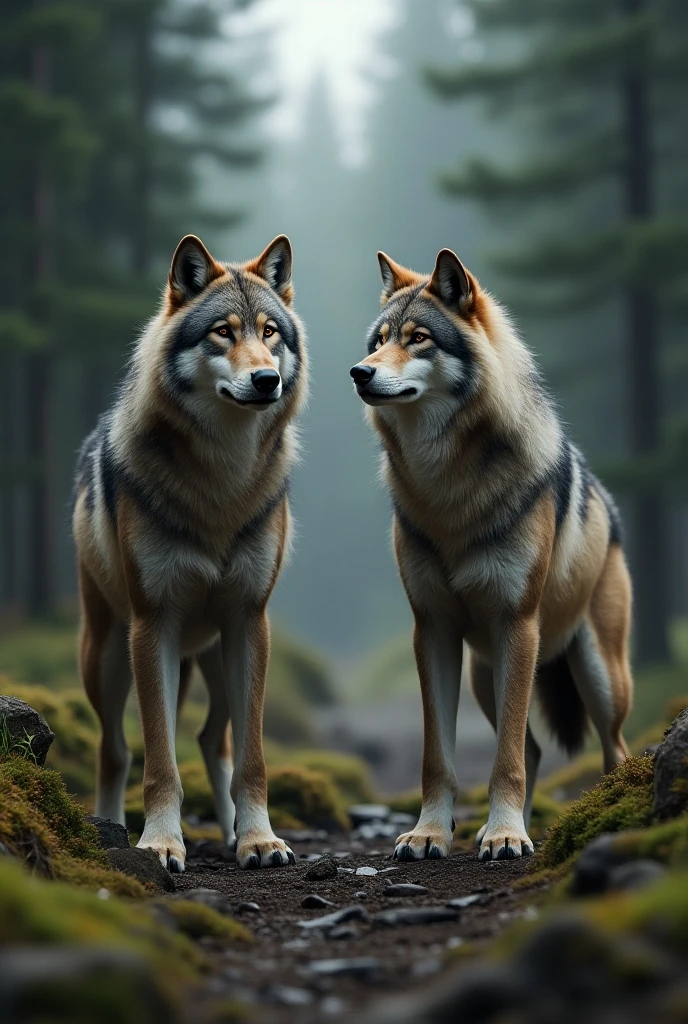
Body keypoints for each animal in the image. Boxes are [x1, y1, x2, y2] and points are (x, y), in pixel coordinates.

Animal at [73, 233, 307, 871]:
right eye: (223, 332)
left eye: (270, 333)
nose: (266, 381)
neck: (221, 483)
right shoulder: (153, 623)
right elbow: (158, 760)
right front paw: (159, 842)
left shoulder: (250, 622)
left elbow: (251, 759)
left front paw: (259, 840)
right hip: (109, 656)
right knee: (117, 749)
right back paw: (111, 825)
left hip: (214, 655)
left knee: (210, 740)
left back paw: (231, 833)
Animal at [350, 248, 632, 861]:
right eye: (377, 341)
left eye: (418, 338)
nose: (359, 372)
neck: (448, 489)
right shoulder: (432, 630)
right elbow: (439, 758)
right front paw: (431, 834)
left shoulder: (518, 625)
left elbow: (503, 759)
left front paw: (506, 835)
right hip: (485, 674)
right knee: (532, 748)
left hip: (597, 676)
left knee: (612, 750)